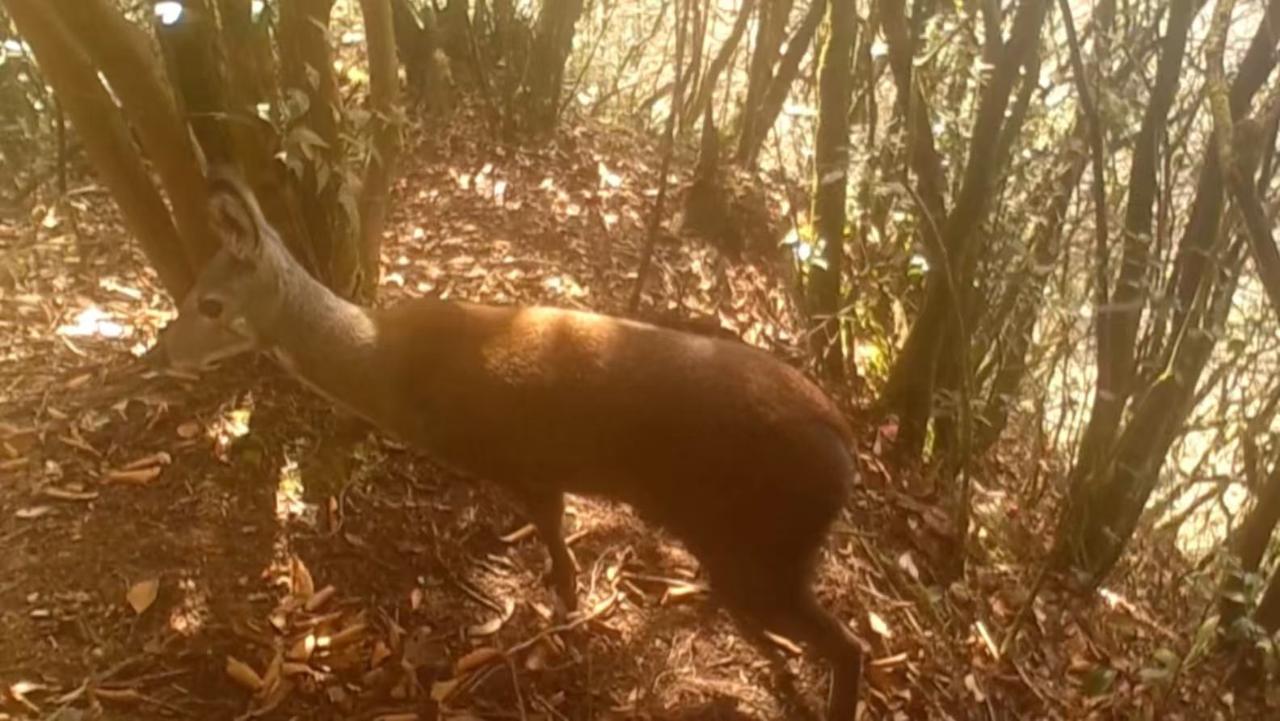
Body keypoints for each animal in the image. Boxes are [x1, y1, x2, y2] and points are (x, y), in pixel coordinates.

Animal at [159, 169, 864, 720]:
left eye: (212, 304)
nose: (162, 353)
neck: (388, 368)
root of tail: (845, 446)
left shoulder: (523, 465)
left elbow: (556, 545)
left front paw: (557, 614)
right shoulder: (540, 473)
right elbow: (559, 549)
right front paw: (564, 607)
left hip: (766, 547)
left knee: (848, 645)